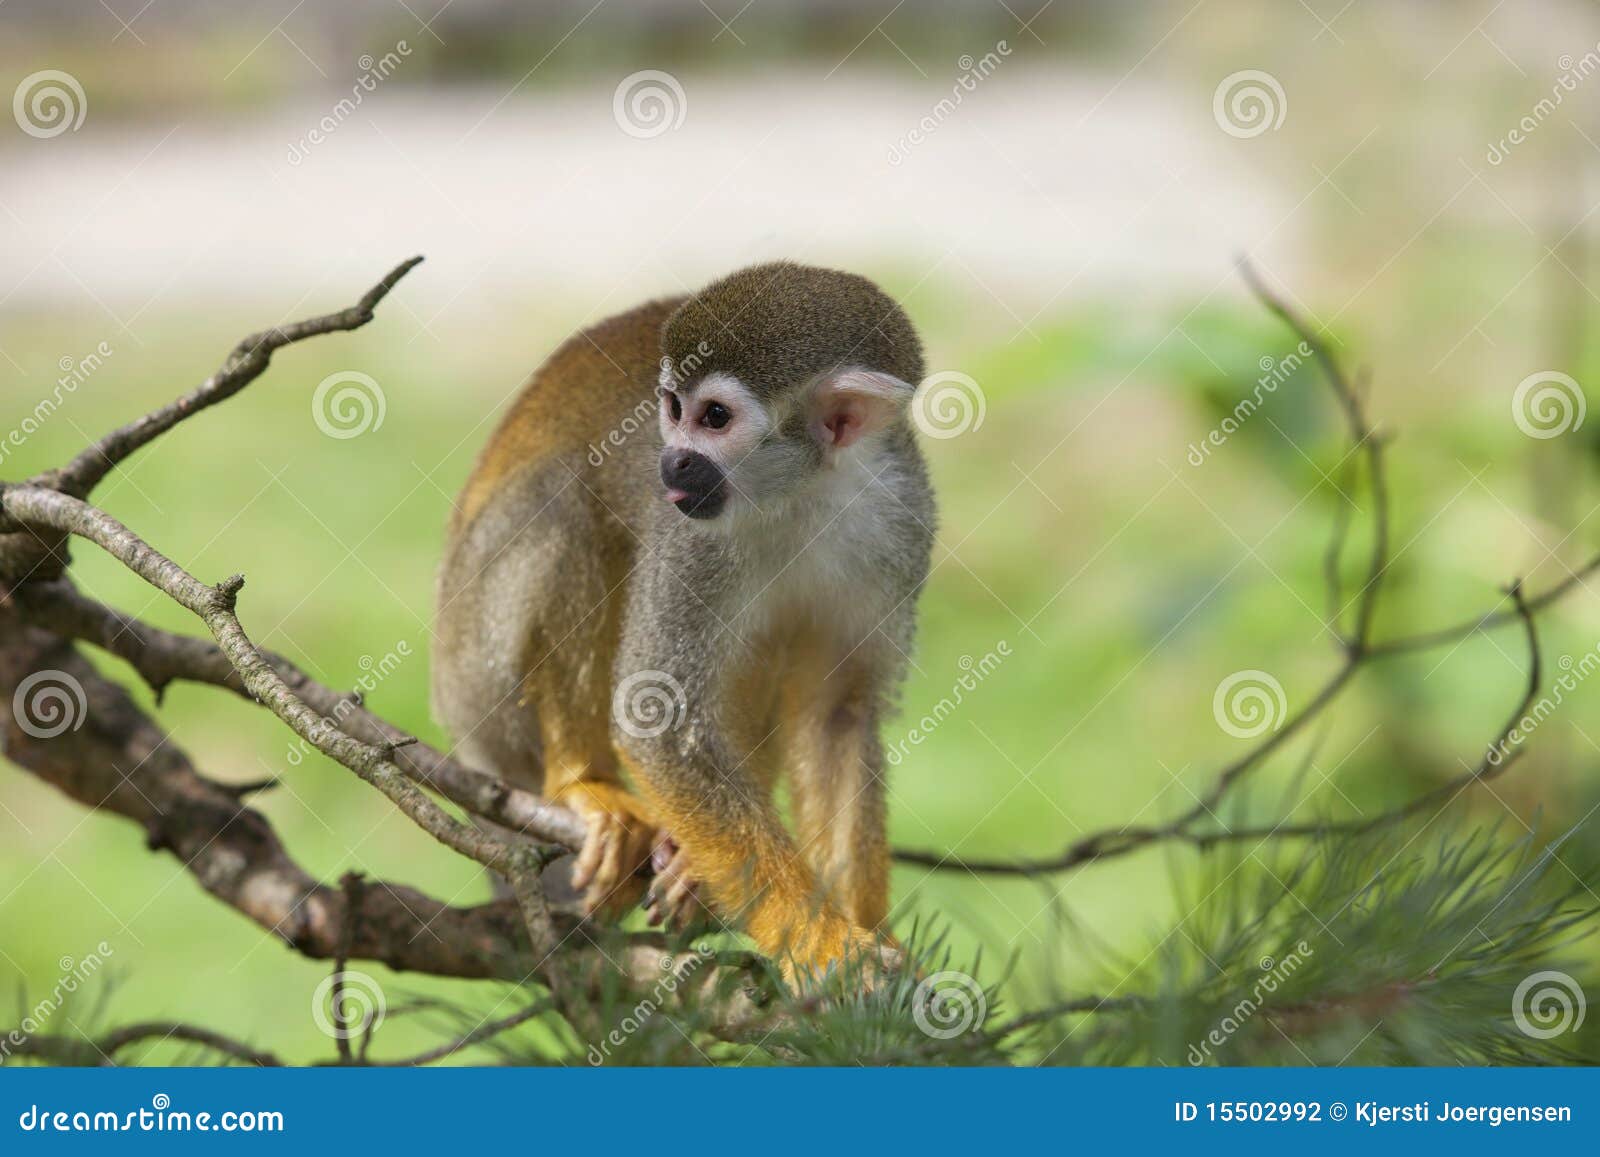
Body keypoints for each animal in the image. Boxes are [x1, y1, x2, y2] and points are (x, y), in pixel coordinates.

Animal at [432, 261, 934, 983]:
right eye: (672, 409)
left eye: (715, 417)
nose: (670, 461)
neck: (805, 495)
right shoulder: (689, 536)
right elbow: (655, 716)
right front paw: (827, 943)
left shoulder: (900, 519)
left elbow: (837, 713)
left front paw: (871, 938)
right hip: (476, 669)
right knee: (561, 504)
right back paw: (582, 783)